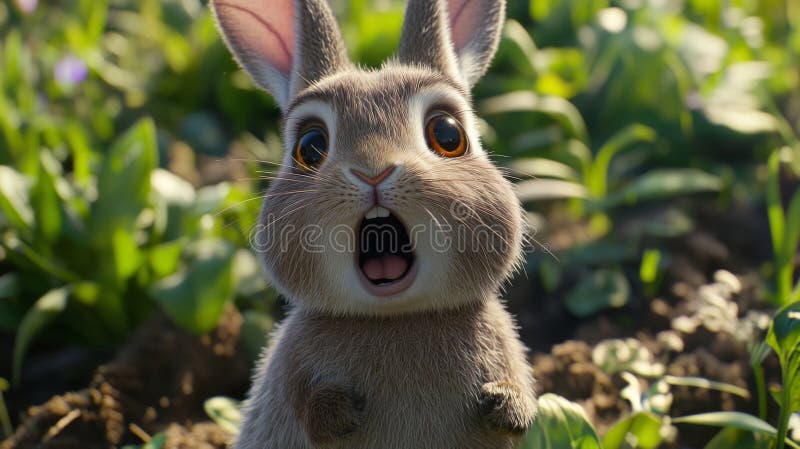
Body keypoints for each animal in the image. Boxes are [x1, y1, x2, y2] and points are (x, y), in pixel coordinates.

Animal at [211, 0, 537, 447]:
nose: (374, 171)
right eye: (310, 146)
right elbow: (310, 409)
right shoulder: (293, 371)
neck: (396, 317)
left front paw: (504, 404)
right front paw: (339, 411)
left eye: (448, 134)